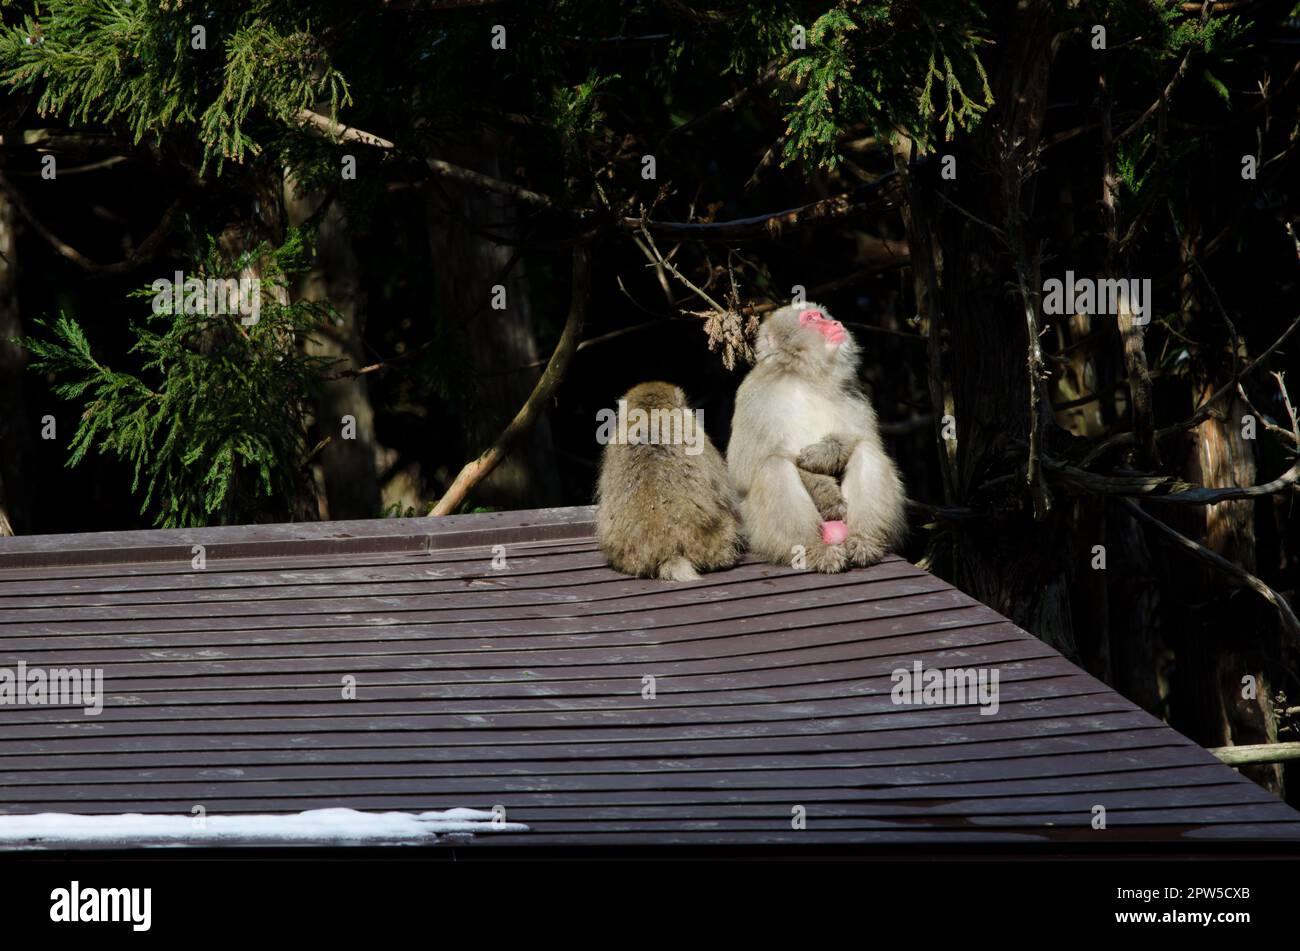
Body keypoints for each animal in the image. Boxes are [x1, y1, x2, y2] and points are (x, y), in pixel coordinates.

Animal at [727, 303, 907, 572]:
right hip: (758, 531)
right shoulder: (753, 394)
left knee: (867, 451)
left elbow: (866, 439)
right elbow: (744, 472)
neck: (806, 376)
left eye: (821, 315)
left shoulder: (852, 390)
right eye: (811, 319)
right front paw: (826, 494)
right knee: (773, 466)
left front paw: (827, 453)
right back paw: (813, 550)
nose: (835, 323)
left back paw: (863, 541)